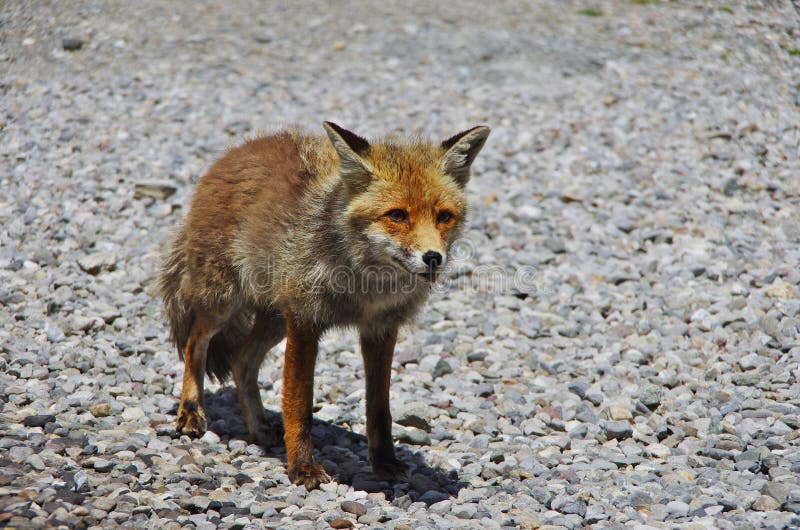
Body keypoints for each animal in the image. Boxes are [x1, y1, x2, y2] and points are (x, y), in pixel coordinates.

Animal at [158, 121, 490, 490]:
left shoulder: (380, 329)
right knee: (195, 344)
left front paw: (384, 463)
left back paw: (259, 428)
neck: (365, 288)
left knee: (241, 362)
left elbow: (379, 409)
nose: (433, 258)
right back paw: (191, 411)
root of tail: (238, 150)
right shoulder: (305, 322)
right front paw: (302, 468)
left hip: (275, 320)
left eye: (444, 217)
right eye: (397, 215)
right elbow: (299, 405)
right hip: (223, 302)